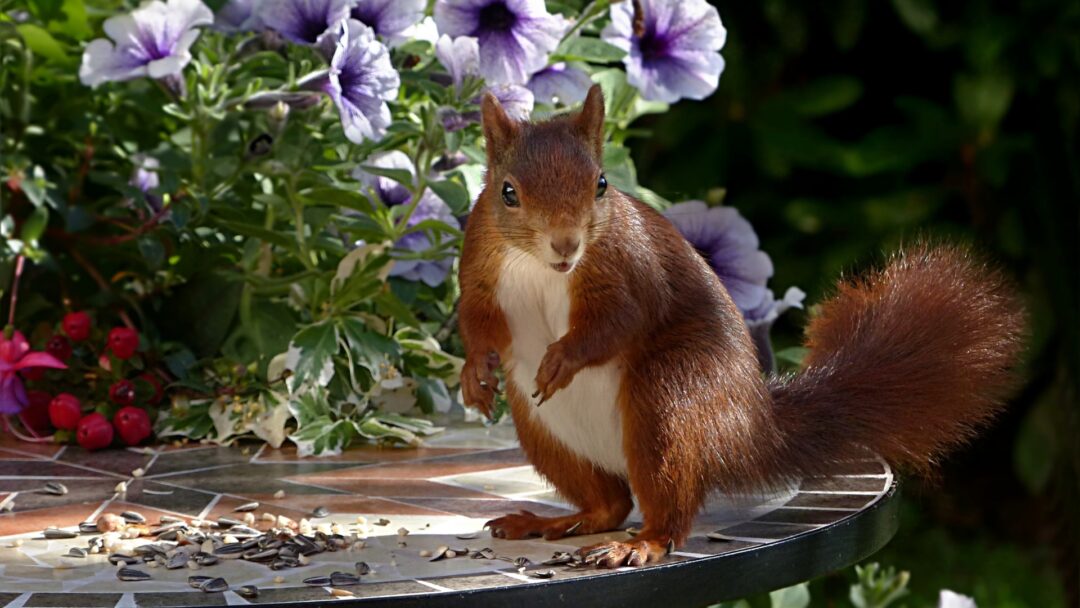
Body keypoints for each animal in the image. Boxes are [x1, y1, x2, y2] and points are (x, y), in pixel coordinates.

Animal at [457, 84, 1026, 568]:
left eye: (601, 184)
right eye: (508, 192)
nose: (566, 244)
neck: (542, 268)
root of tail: (747, 431)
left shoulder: (630, 271)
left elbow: (617, 321)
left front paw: (562, 358)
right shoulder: (481, 267)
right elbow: (478, 321)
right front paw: (475, 373)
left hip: (670, 399)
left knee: (664, 507)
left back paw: (638, 545)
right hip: (544, 432)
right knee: (610, 504)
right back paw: (555, 521)